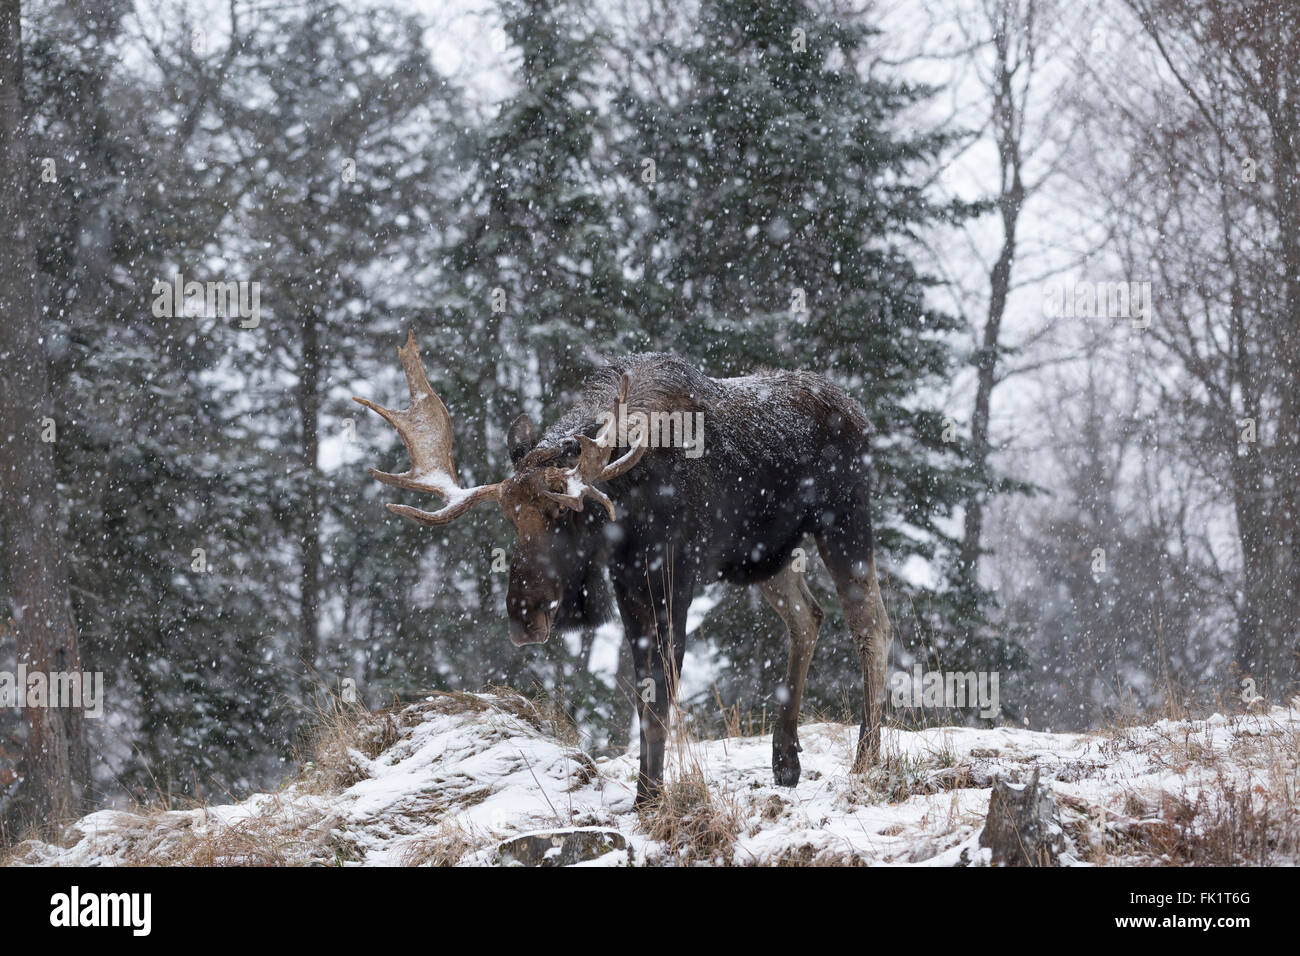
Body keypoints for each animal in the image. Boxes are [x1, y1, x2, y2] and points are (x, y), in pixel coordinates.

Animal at [355, 333, 893, 806]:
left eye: (569, 513)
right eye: (510, 518)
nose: (524, 616)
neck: (632, 510)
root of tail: (860, 413)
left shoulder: (676, 575)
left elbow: (661, 690)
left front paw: (650, 797)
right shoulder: (628, 582)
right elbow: (641, 693)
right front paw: (646, 793)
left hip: (845, 520)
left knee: (872, 624)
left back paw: (866, 757)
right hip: (765, 558)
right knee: (808, 617)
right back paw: (786, 760)